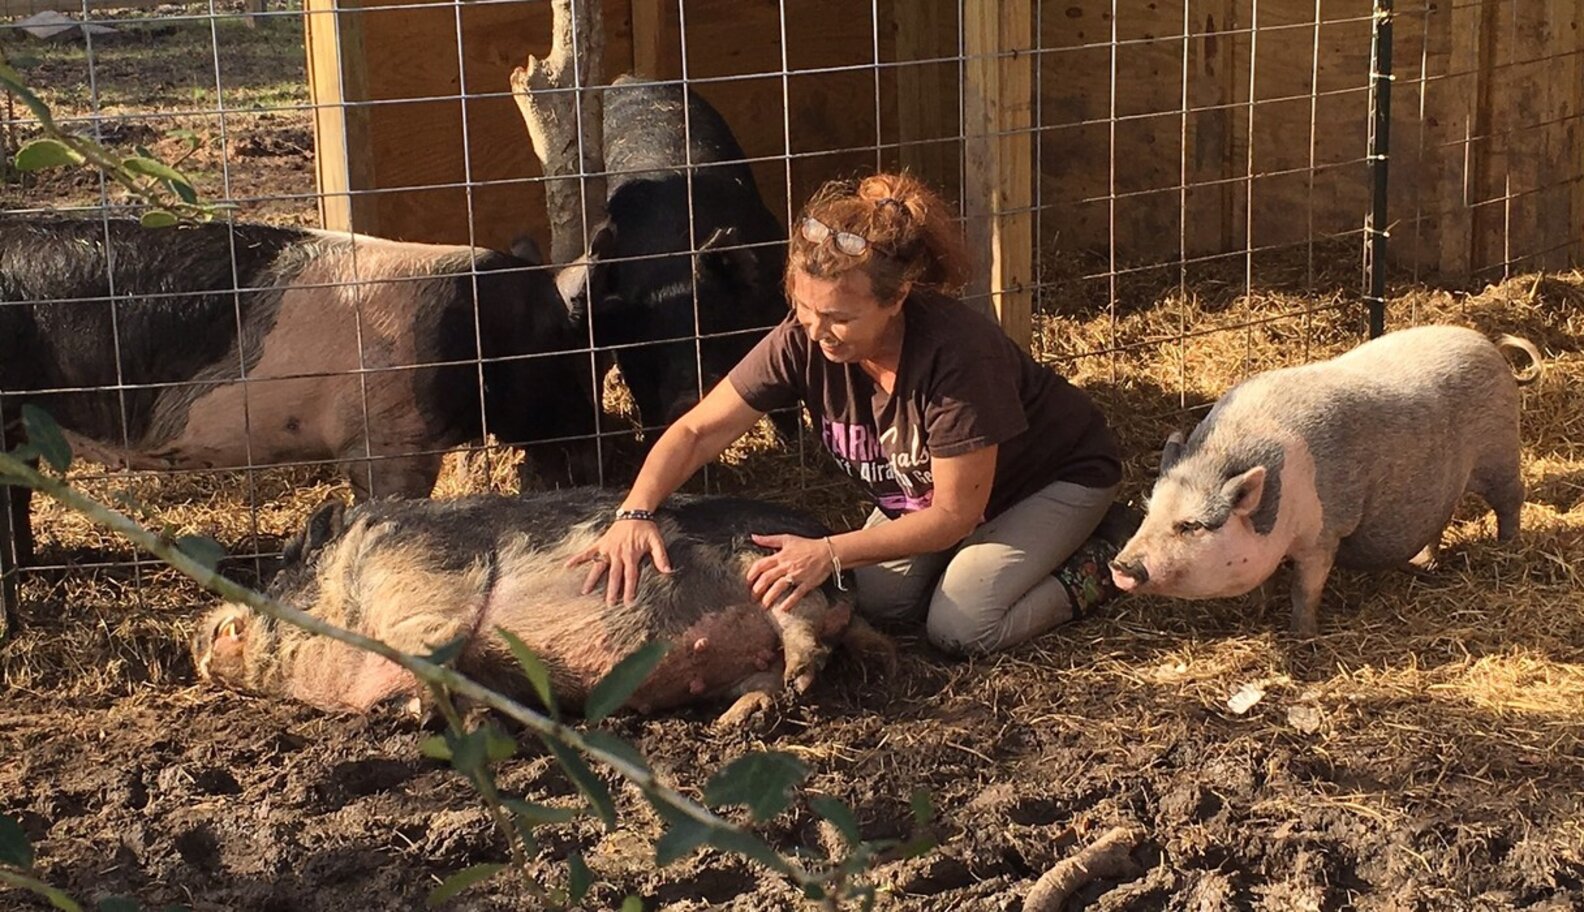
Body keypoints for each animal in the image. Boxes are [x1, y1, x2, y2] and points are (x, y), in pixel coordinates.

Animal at [190, 488, 893, 727]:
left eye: (283, 566)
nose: (196, 635)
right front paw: (455, 718)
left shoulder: (424, 585)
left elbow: (427, 647)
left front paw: (425, 710)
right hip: (745, 652)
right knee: (766, 678)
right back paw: (736, 721)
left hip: (765, 566)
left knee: (801, 623)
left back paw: (798, 679)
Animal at [574, 74, 800, 443]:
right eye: (653, 344)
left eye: (712, 325)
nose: (689, 399)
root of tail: (626, 78)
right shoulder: (629, 350)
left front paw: (791, 443)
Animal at [1109, 325, 1543, 636]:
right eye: (1149, 511)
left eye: (1192, 525)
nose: (1120, 566)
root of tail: (1489, 345)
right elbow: (1266, 583)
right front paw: (1256, 612)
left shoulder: (1325, 532)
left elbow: (1306, 587)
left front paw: (1303, 635)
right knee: (1440, 518)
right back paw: (1423, 565)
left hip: (1500, 452)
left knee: (1511, 500)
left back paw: (1508, 546)